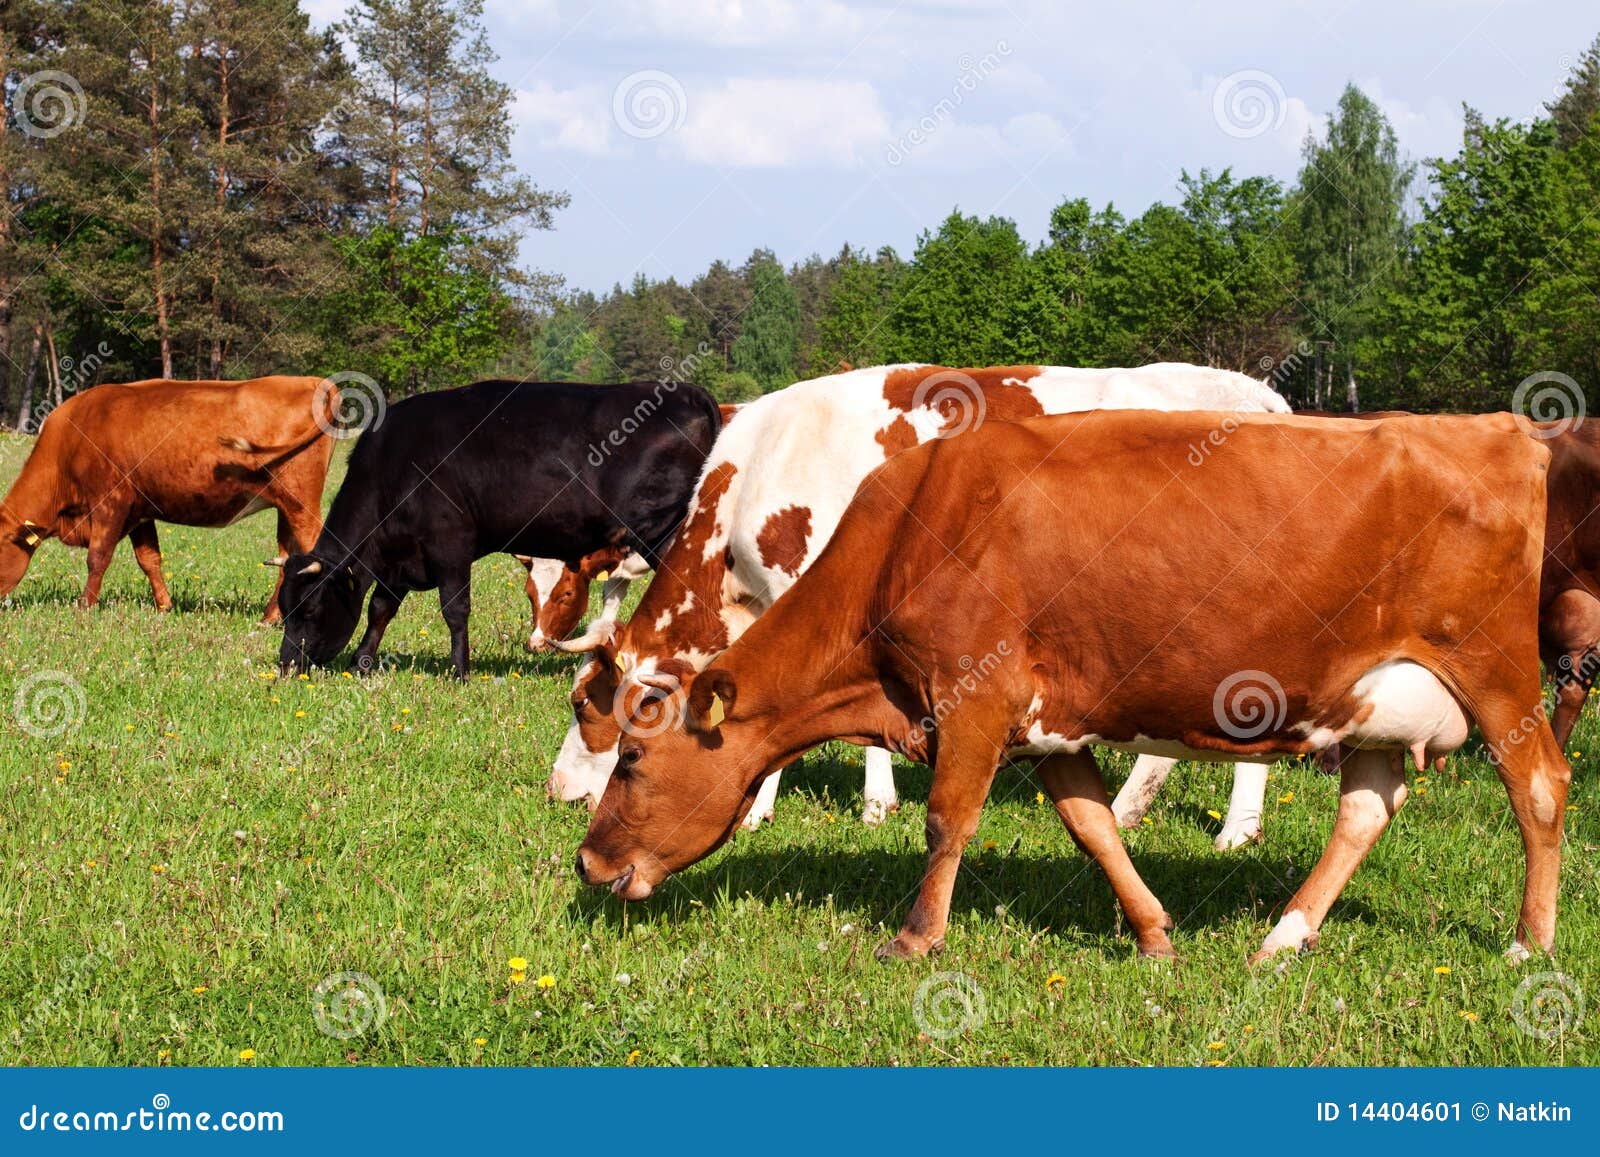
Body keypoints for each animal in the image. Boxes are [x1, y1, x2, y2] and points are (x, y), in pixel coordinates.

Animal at [0, 376, 334, 621]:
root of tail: (312, 381)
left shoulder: (111, 502)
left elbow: (97, 557)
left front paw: (85, 606)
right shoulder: (139, 511)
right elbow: (149, 560)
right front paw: (164, 607)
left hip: (301, 503)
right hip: (285, 506)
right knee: (287, 558)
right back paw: (269, 618)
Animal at [275, 379, 720, 678]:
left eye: (310, 608)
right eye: (283, 607)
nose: (286, 664)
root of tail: (684, 392)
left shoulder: (450, 545)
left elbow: (455, 610)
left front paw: (459, 671)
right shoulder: (399, 558)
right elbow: (380, 609)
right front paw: (363, 663)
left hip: (660, 530)